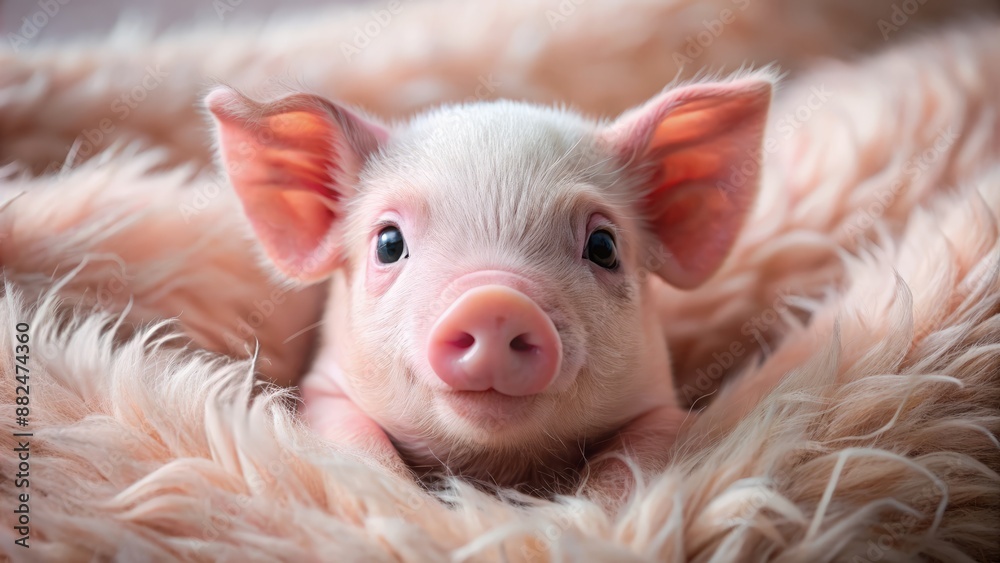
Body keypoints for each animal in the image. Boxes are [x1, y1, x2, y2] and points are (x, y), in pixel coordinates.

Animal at [205, 73, 772, 502]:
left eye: (604, 246)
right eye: (389, 243)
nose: (495, 303)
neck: (497, 467)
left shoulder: (661, 411)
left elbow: (628, 466)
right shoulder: (324, 393)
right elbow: (359, 445)